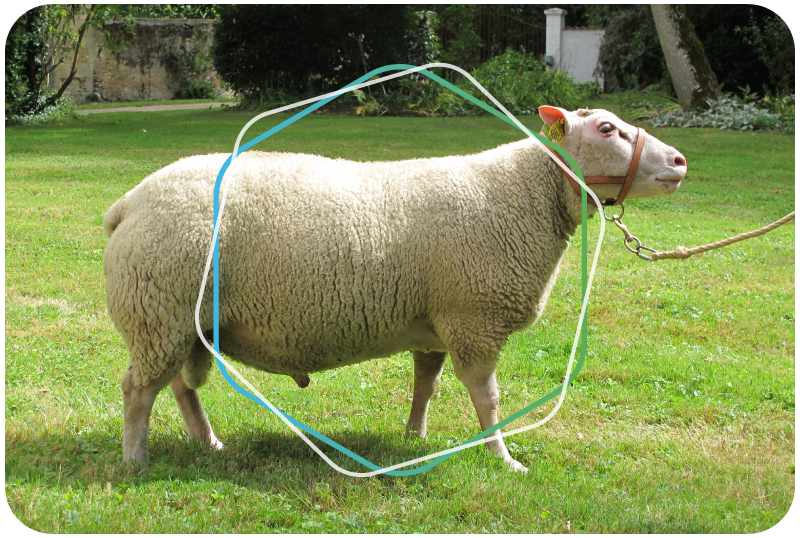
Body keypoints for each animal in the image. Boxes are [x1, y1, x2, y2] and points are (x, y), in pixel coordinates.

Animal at [103, 106, 687, 471]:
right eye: (608, 129)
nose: (680, 161)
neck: (525, 193)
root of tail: (128, 203)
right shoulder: (474, 319)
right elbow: (488, 398)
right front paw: (503, 458)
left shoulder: (436, 324)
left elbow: (425, 385)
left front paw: (415, 437)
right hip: (158, 310)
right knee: (138, 390)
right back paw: (136, 461)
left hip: (184, 321)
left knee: (181, 388)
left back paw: (209, 443)